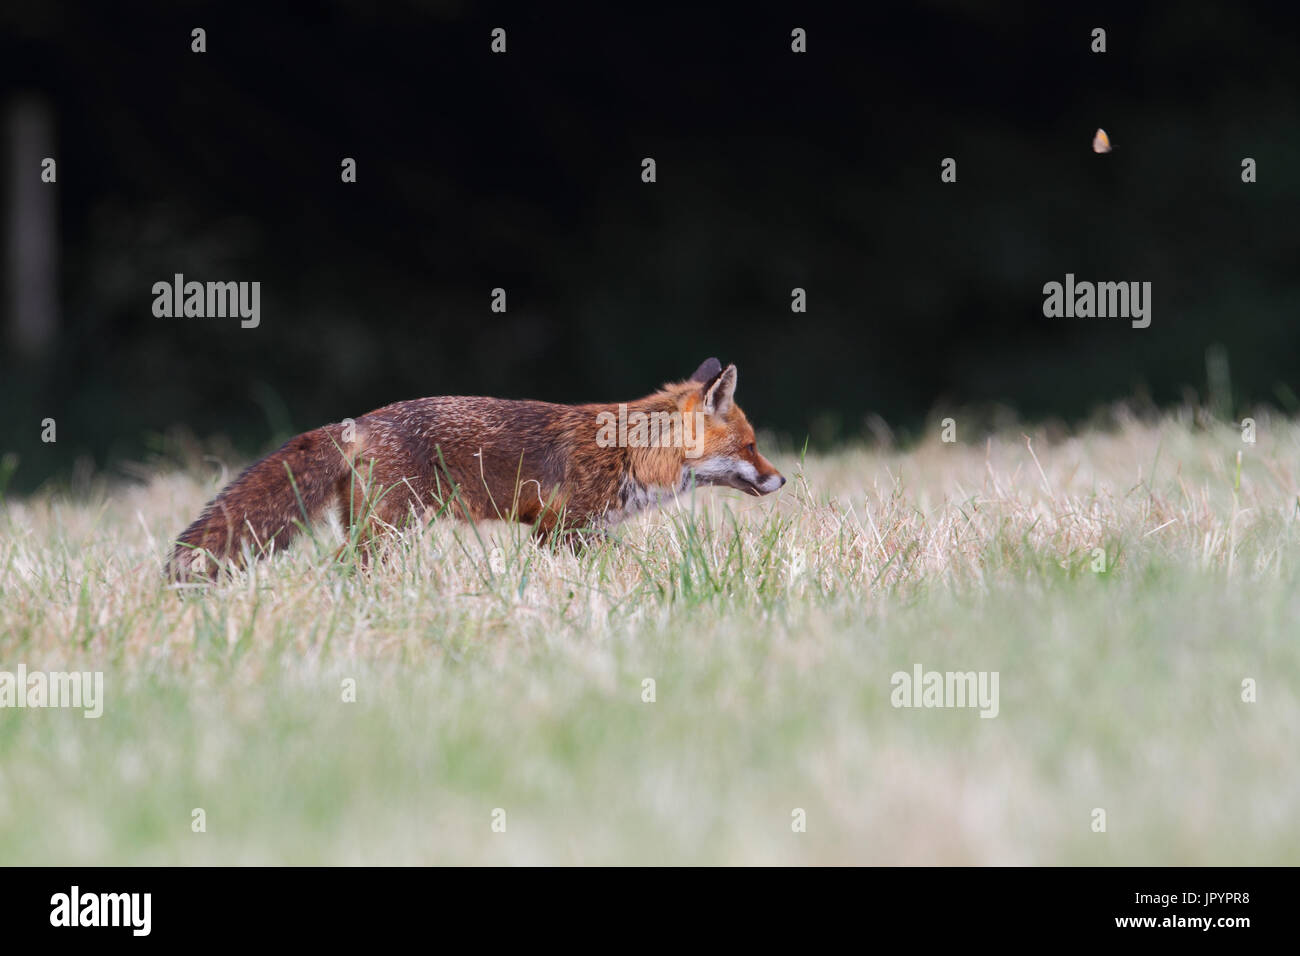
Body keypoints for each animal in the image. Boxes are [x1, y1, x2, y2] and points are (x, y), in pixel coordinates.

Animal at [168, 358, 784, 579]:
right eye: (753, 446)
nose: (782, 479)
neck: (632, 453)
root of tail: (357, 421)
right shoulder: (564, 529)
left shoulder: (563, 533)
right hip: (391, 526)